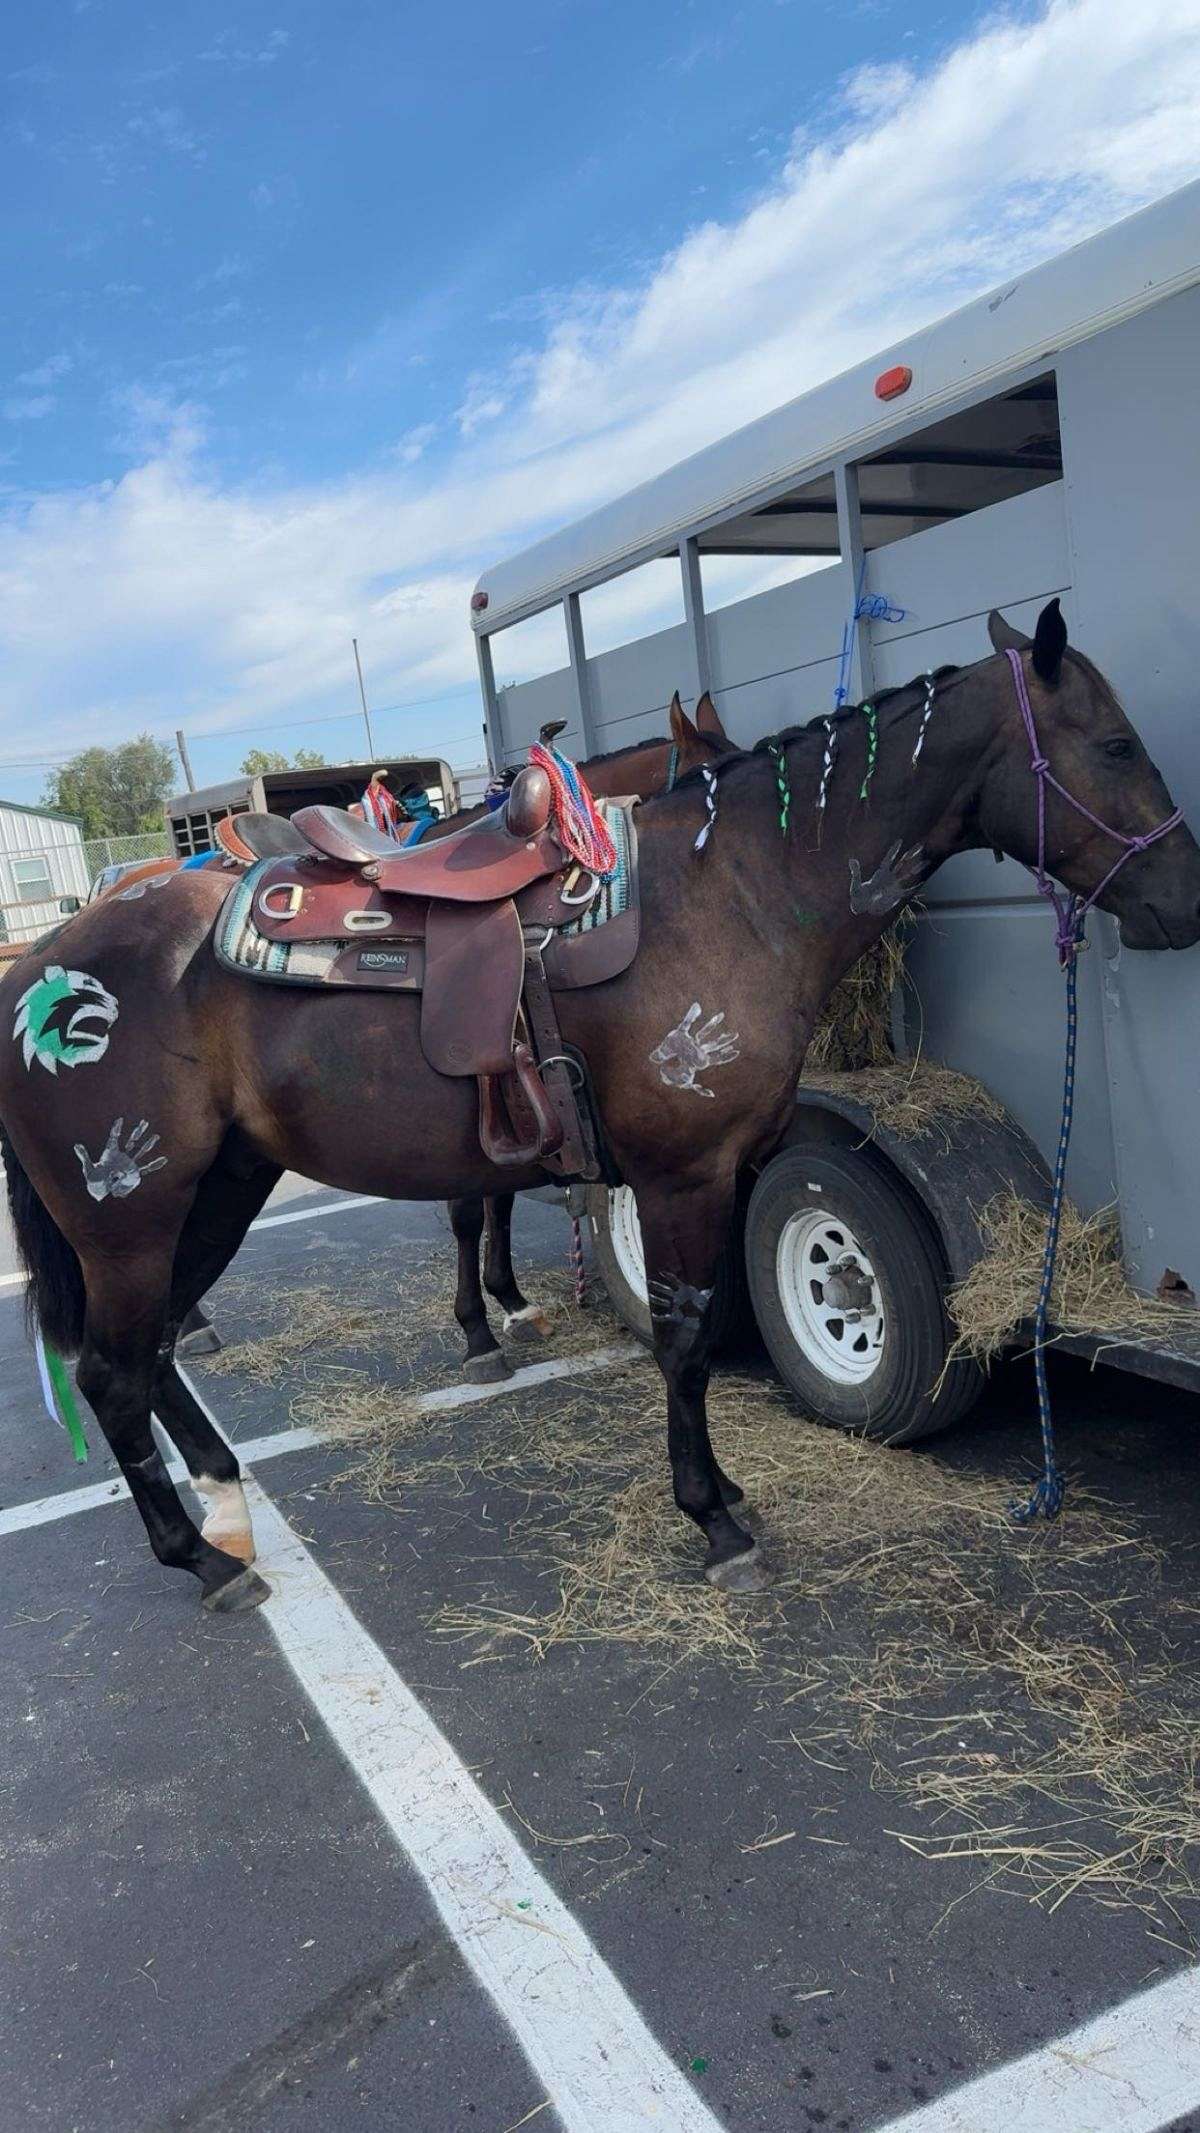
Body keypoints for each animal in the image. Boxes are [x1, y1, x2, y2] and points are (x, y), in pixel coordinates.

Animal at [3, 602, 1197, 1615]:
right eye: (1116, 746)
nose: (1180, 895)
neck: (729, 896)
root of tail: (42, 971)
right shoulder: (682, 1173)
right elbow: (683, 1338)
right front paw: (714, 1518)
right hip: (130, 1216)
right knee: (111, 1371)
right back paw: (201, 1559)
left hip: (221, 1190)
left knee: (157, 1349)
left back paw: (227, 1501)